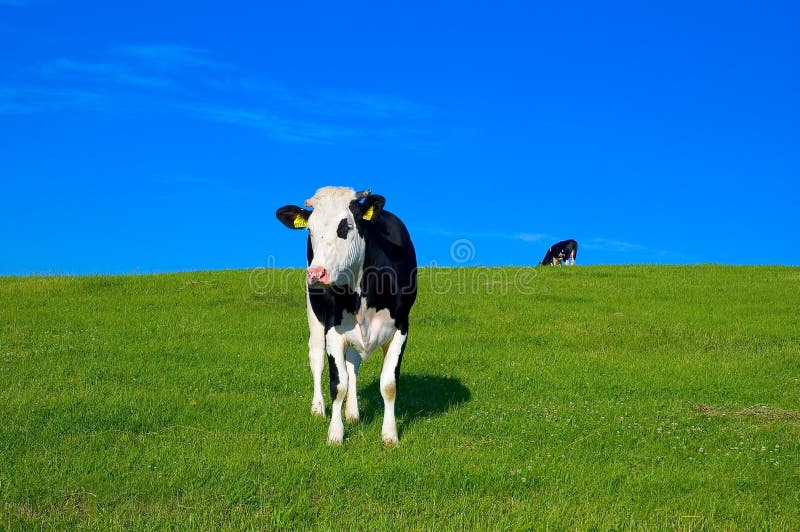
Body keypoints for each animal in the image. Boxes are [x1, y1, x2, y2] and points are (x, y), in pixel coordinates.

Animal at [276, 186, 417, 446]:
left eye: (346, 227)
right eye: (310, 229)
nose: (316, 273)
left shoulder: (402, 327)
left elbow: (389, 384)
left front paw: (390, 436)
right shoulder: (332, 328)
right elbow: (338, 384)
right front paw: (335, 435)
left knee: (353, 364)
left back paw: (352, 412)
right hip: (314, 315)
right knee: (317, 358)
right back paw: (318, 408)